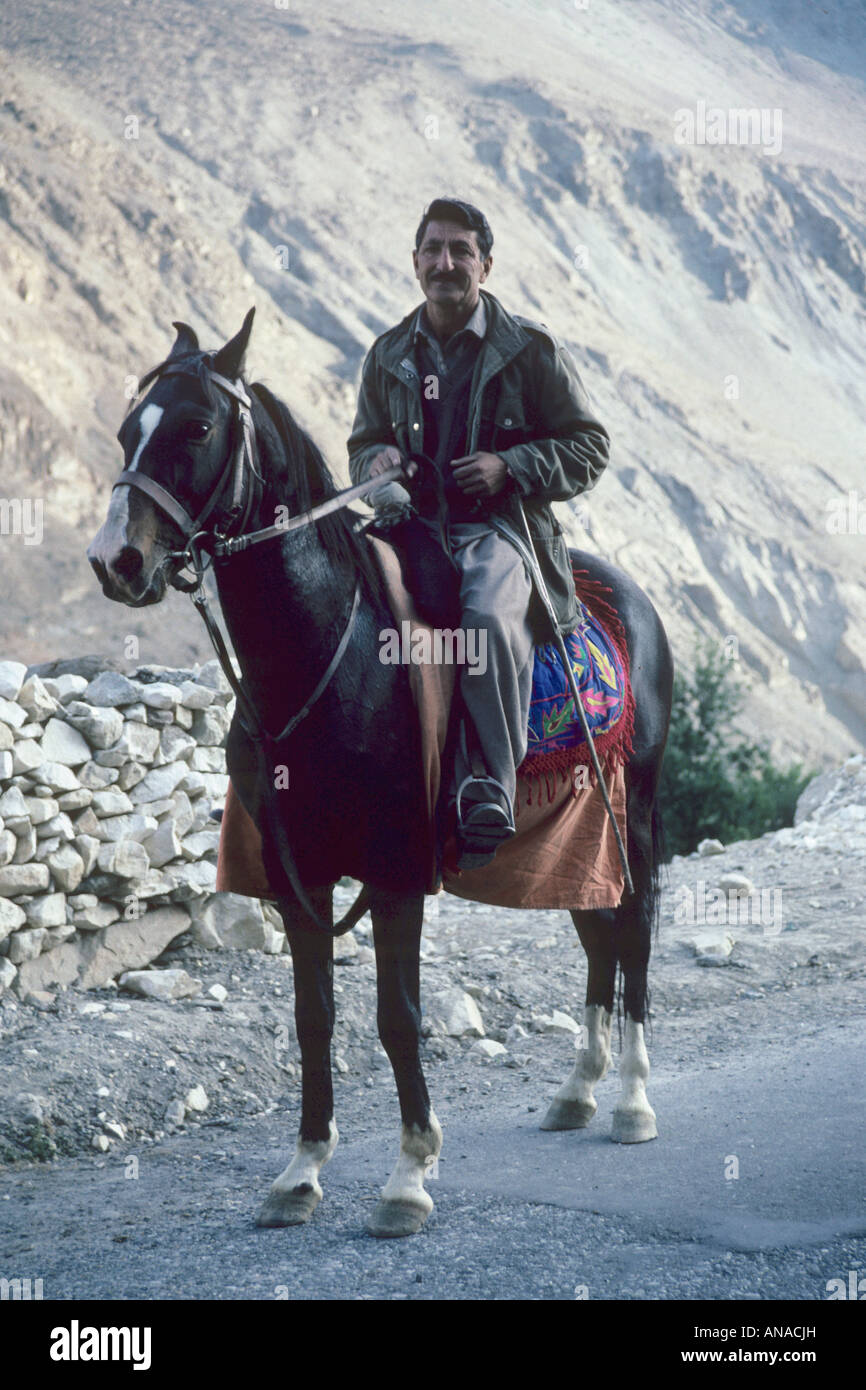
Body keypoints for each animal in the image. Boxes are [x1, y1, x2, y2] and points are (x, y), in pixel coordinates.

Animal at [87, 309, 674, 1239]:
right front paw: (300, 1171)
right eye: (125, 430)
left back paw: (631, 1100)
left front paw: (408, 1176)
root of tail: (626, 600)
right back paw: (579, 1089)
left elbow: (398, 1020)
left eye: (198, 427)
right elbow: (313, 1018)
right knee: (595, 924)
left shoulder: (396, 871)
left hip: (638, 807)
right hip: (579, 818)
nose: (117, 561)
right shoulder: (297, 877)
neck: (333, 645)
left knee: (637, 923)